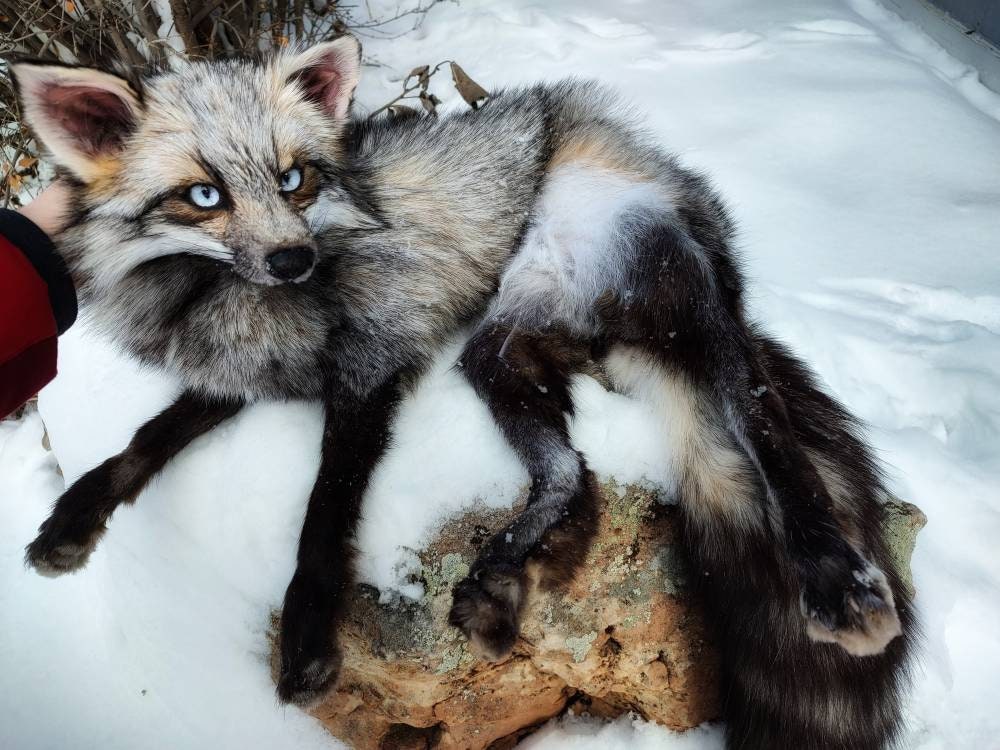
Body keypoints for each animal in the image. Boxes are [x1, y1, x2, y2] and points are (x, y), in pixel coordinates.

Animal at [9, 35, 914, 749]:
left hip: (671, 302)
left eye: (296, 179)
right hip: (495, 352)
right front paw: (73, 519)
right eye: (204, 195)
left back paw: (833, 575)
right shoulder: (255, 372)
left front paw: (305, 640)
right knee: (571, 474)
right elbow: (146, 442)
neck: (214, 302)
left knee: (760, 416)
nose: (296, 261)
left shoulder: (371, 367)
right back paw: (505, 581)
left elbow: (322, 516)